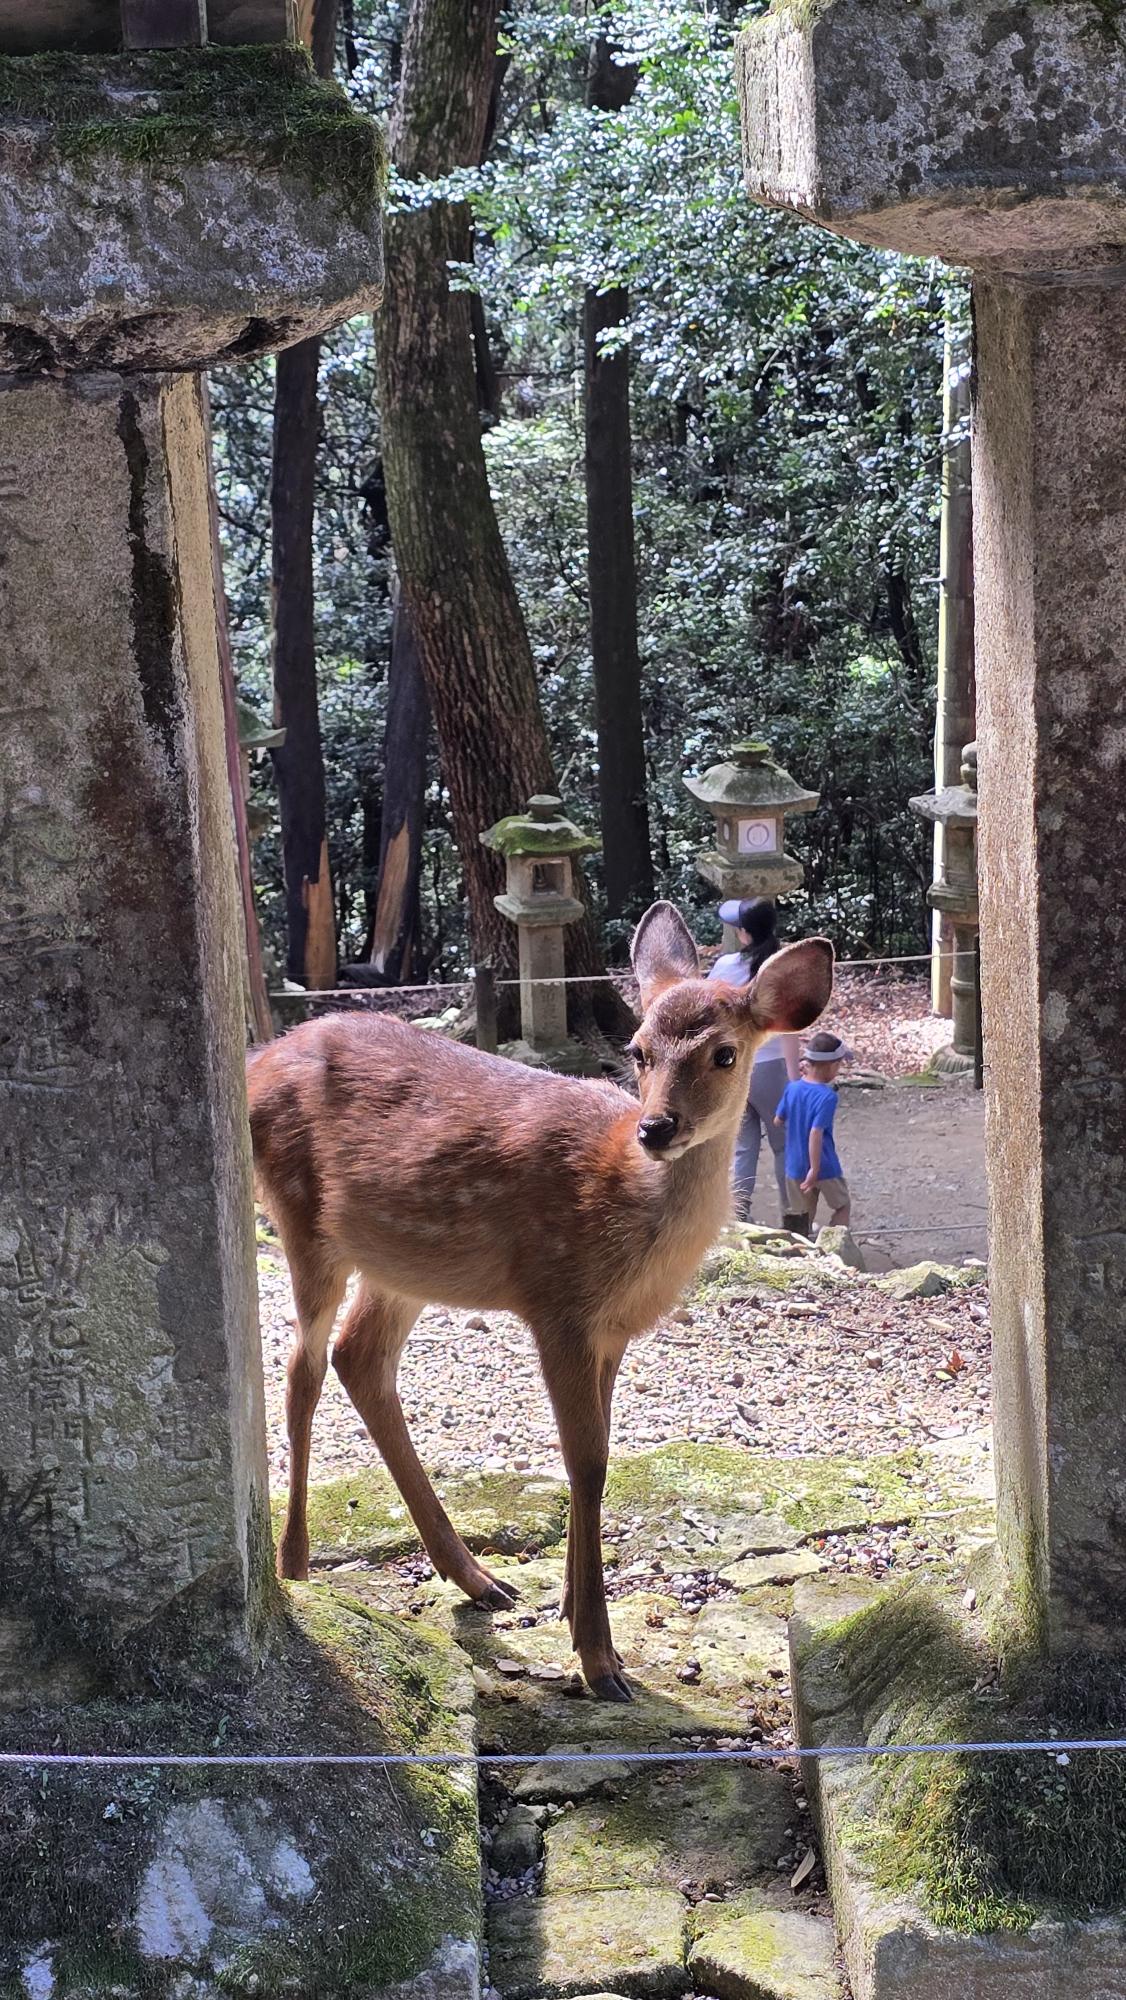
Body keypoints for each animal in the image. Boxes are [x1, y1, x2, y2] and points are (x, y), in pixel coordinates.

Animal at [247, 908, 832, 1704]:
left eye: (723, 1054)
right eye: (638, 1051)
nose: (656, 1128)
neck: (624, 1208)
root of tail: (252, 1065)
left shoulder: (611, 1331)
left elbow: (599, 1453)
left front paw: (570, 1609)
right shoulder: (556, 1303)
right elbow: (586, 1462)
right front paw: (599, 1659)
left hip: (398, 1263)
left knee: (357, 1359)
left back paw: (478, 1579)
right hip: (304, 1220)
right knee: (301, 1368)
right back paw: (296, 1563)